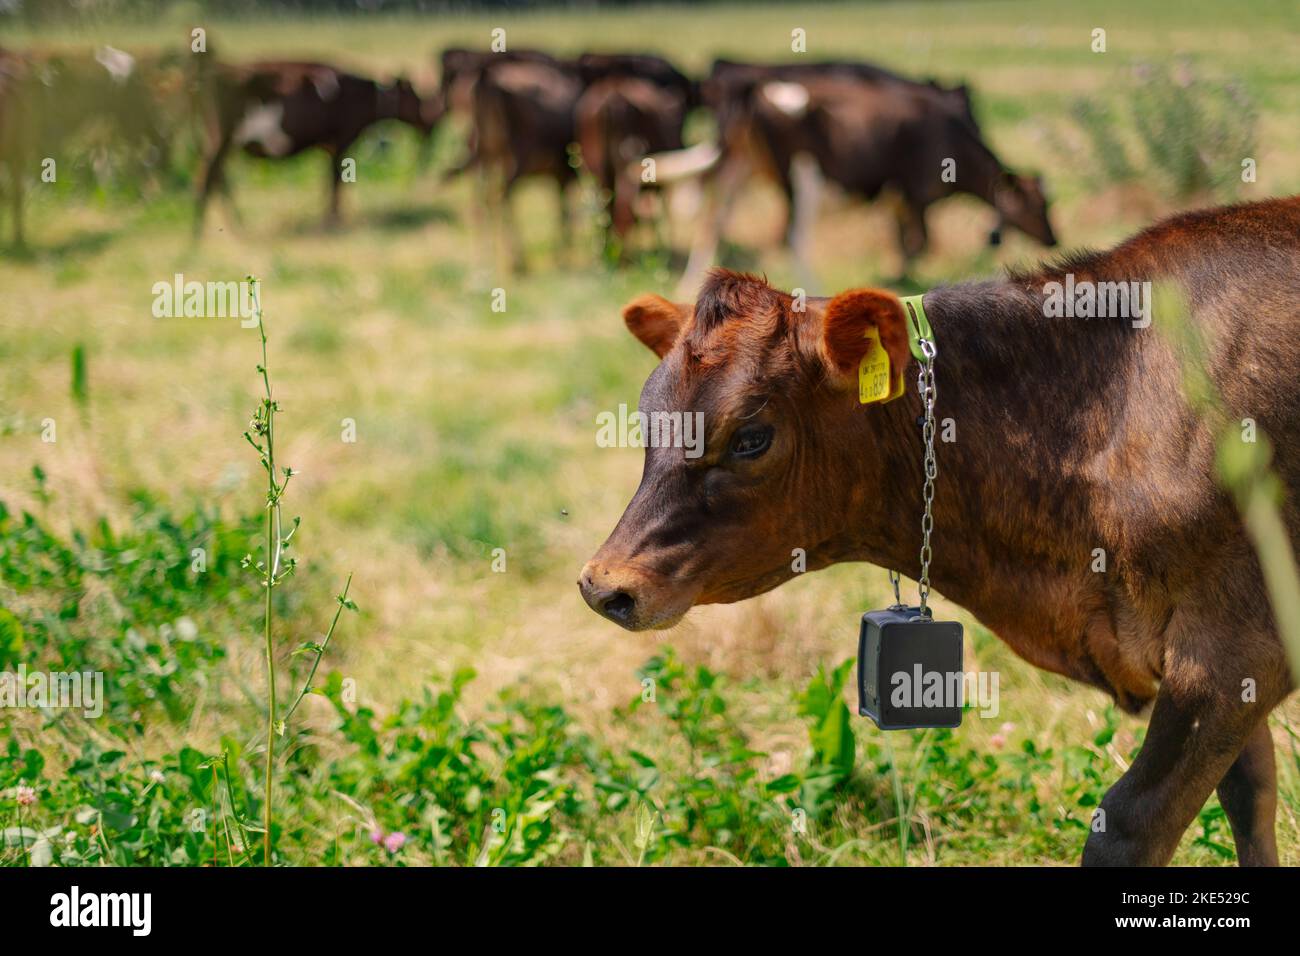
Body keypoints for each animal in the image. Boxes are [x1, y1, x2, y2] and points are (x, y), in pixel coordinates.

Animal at [195, 60, 441, 233]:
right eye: (415, 95)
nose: (430, 120)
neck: (365, 95)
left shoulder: (329, 146)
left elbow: (328, 182)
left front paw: (328, 218)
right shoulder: (342, 140)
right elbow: (335, 181)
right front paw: (333, 220)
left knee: (216, 178)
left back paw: (235, 224)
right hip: (222, 139)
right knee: (210, 177)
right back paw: (201, 232)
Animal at [579, 196, 1300, 866]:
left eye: (751, 437)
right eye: (647, 419)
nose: (605, 585)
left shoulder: (1230, 656)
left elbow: (1130, 821)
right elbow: (1251, 796)